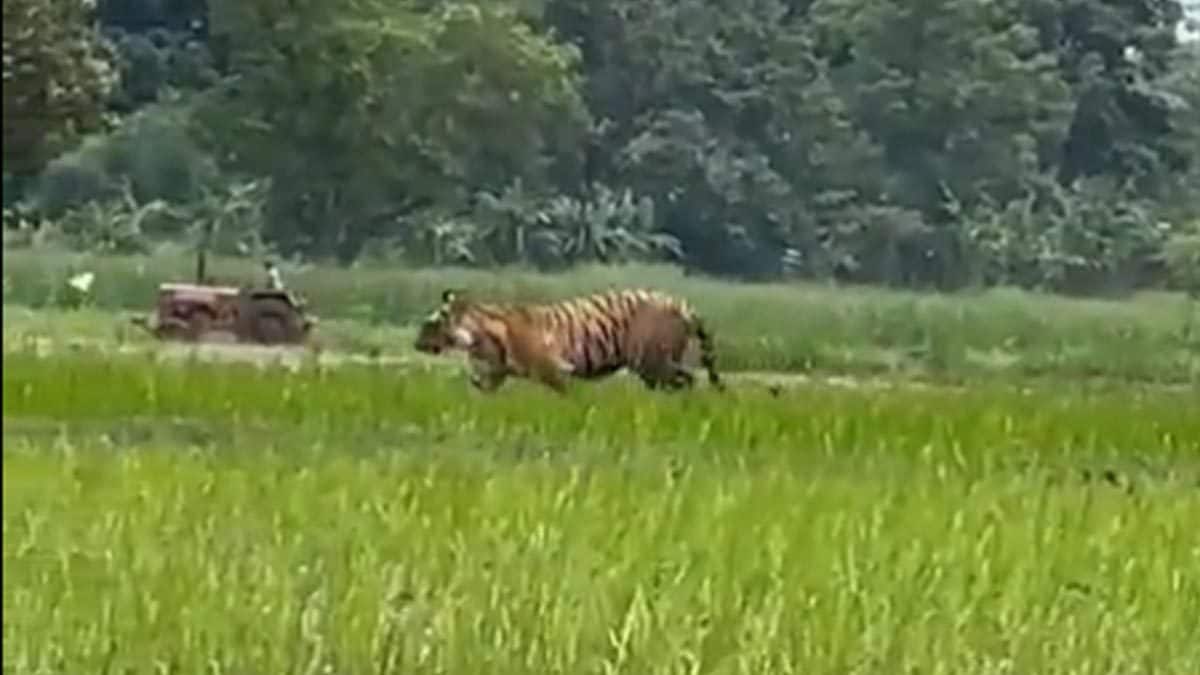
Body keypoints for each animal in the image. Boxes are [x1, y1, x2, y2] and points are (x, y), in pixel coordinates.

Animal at [413, 287, 725, 394]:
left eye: (430, 324)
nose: (416, 344)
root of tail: (682, 304)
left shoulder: (553, 369)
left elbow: (565, 395)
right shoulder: (495, 372)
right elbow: (482, 390)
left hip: (652, 362)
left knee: (687, 380)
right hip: (655, 365)